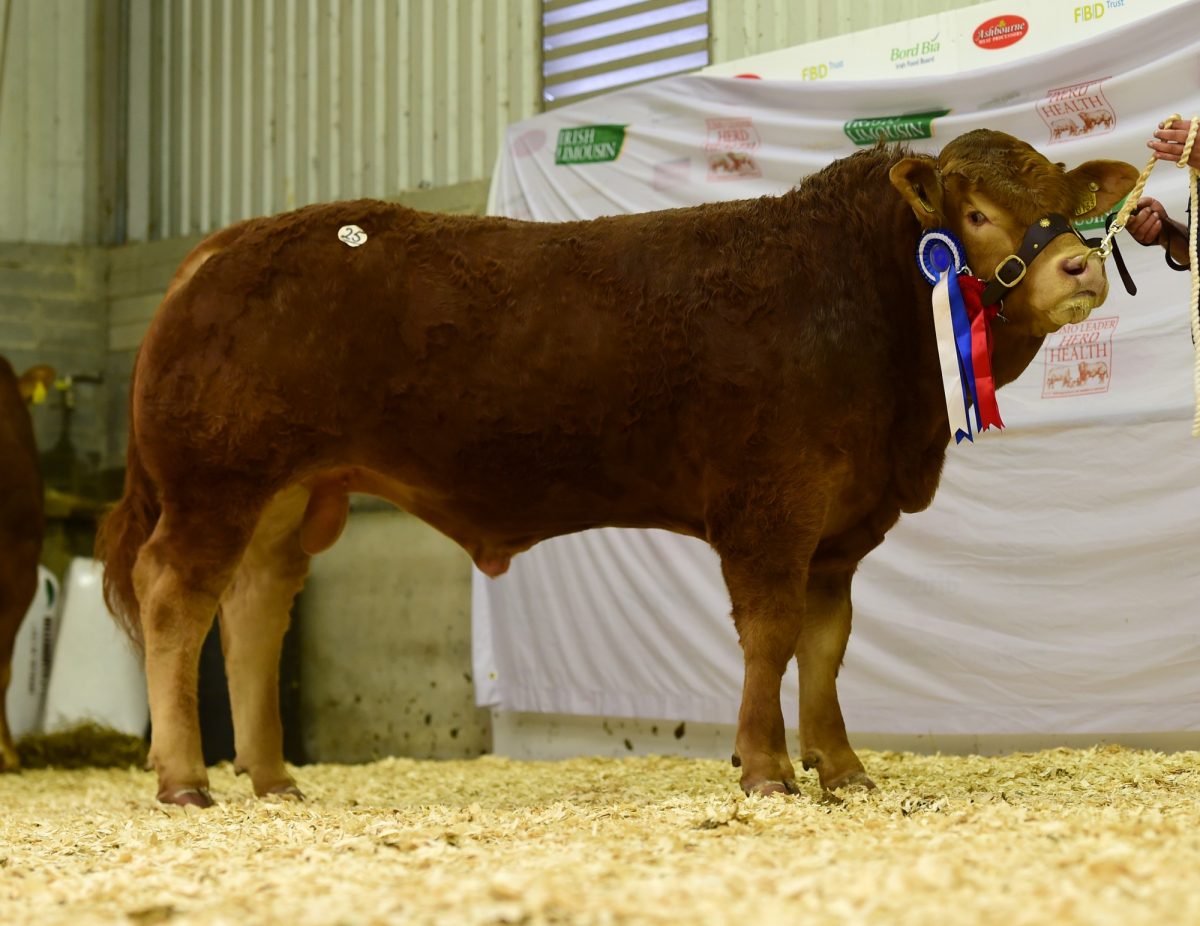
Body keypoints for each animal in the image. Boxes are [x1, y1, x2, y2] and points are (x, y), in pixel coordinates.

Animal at [97, 130, 1138, 807]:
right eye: (976, 212)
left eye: (1063, 203)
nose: (1080, 268)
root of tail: (226, 242)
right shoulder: (771, 506)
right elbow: (770, 636)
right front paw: (766, 770)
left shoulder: (841, 529)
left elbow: (825, 646)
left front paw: (841, 769)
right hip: (215, 484)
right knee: (175, 601)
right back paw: (185, 781)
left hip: (286, 497)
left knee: (254, 614)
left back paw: (273, 780)